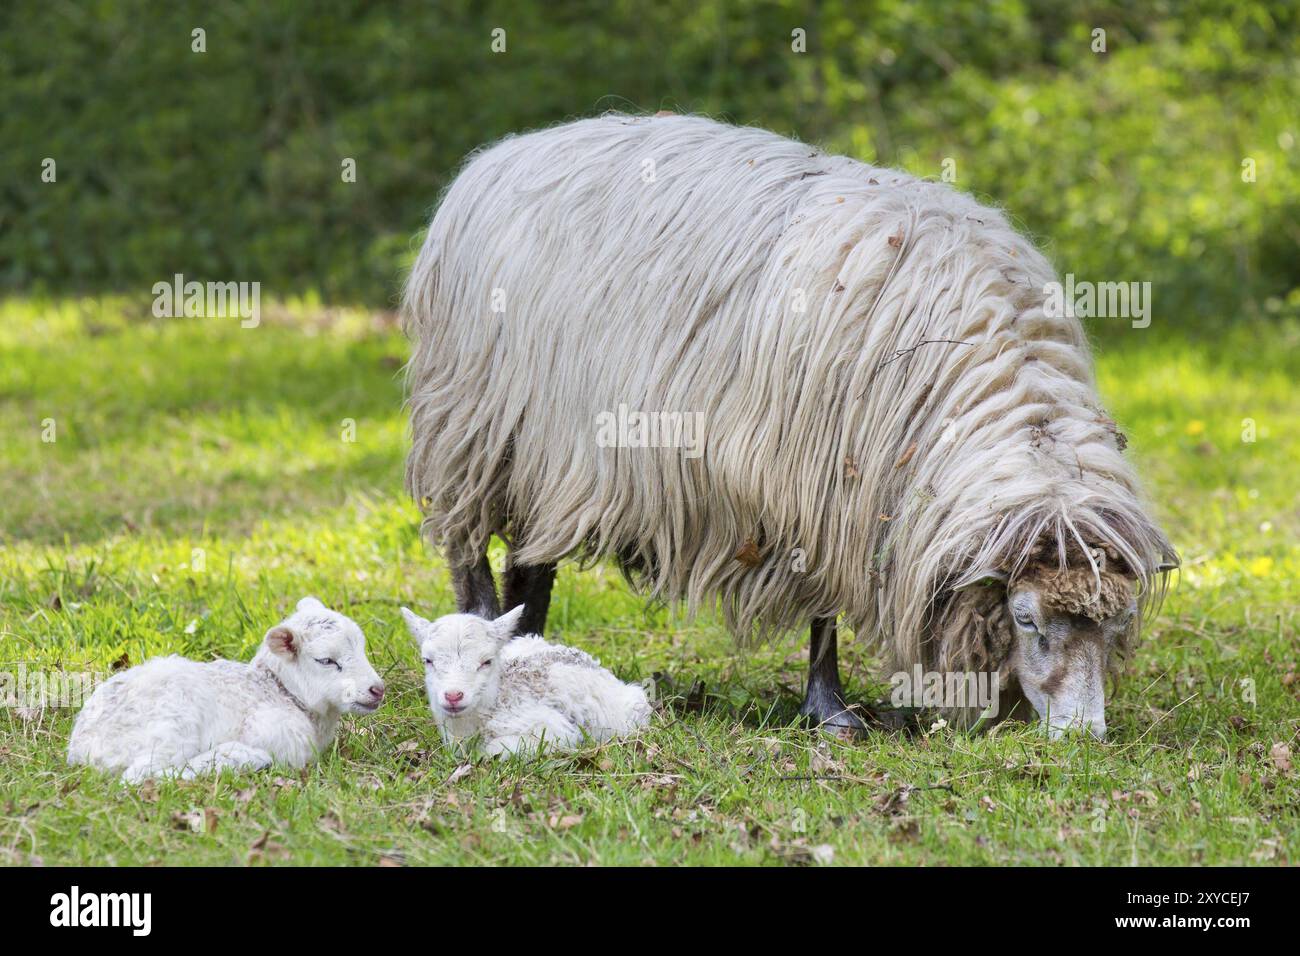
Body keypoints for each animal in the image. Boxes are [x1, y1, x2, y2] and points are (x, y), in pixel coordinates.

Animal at [67, 597, 385, 782]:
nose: (377, 690)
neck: (280, 690)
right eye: (326, 660)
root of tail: (81, 748)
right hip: (172, 727)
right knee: (139, 775)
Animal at [402, 113, 1177, 739]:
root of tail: (503, 152)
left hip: (545, 454)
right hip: (472, 430)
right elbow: (825, 610)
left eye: (1113, 623)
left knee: (531, 562)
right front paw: (829, 710)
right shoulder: (816, 486)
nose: (1084, 736)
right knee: (470, 555)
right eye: (1025, 618)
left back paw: (527, 646)